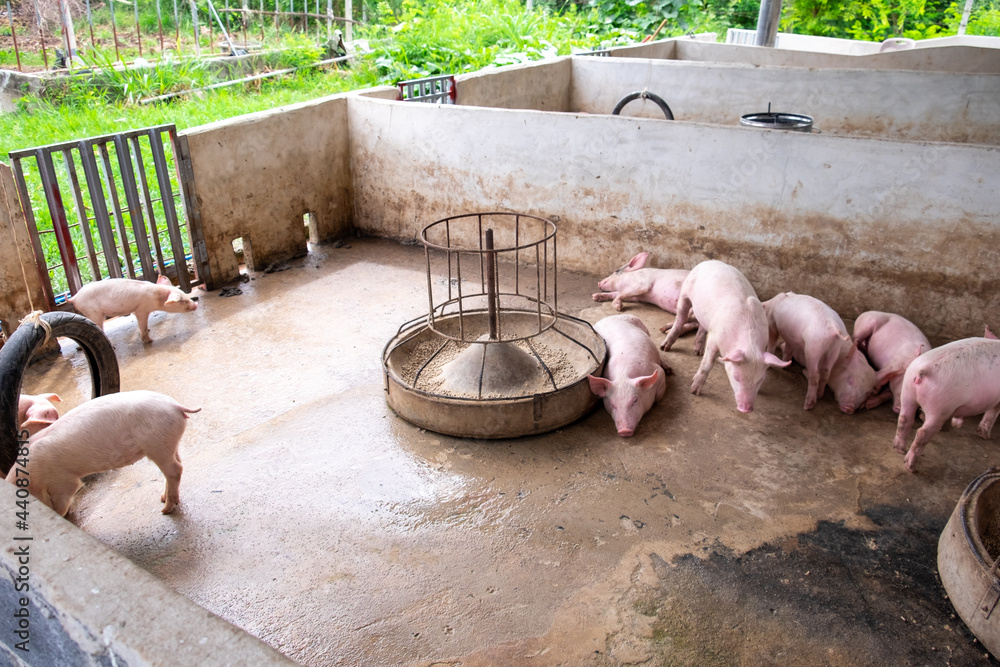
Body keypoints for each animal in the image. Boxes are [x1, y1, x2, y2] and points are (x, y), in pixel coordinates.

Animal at [6, 390, 200, 515]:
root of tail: (175, 405)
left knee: (175, 470)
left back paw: (165, 510)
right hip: (166, 443)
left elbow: (64, 500)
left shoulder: (61, 481)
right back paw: (162, 498)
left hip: (157, 445)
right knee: (177, 464)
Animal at [69, 276, 198, 343]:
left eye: (185, 295)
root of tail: (75, 297)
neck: (156, 297)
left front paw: (149, 332)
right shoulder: (142, 309)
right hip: (93, 313)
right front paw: (150, 340)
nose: (196, 305)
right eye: (182, 301)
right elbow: (142, 324)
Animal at [659, 260, 790, 413]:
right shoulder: (714, 337)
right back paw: (665, 346)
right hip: (685, 291)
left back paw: (697, 351)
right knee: (681, 318)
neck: (750, 344)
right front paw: (694, 391)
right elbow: (707, 364)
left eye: (761, 380)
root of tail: (709, 261)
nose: (746, 409)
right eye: (736, 377)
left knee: (702, 326)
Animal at [763, 293, 899, 413]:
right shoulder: (792, 338)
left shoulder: (773, 323)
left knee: (815, 375)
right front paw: (786, 361)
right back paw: (819, 395)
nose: (850, 409)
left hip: (814, 347)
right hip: (833, 349)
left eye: (868, 392)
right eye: (850, 380)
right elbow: (788, 347)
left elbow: (774, 340)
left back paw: (808, 404)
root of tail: (834, 329)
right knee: (825, 373)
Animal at [893, 338, 1000, 471]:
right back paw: (910, 467)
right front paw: (985, 436)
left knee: (904, 419)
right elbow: (993, 412)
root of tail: (923, 370)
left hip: (907, 391)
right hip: (939, 407)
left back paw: (898, 449)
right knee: (922, 433)